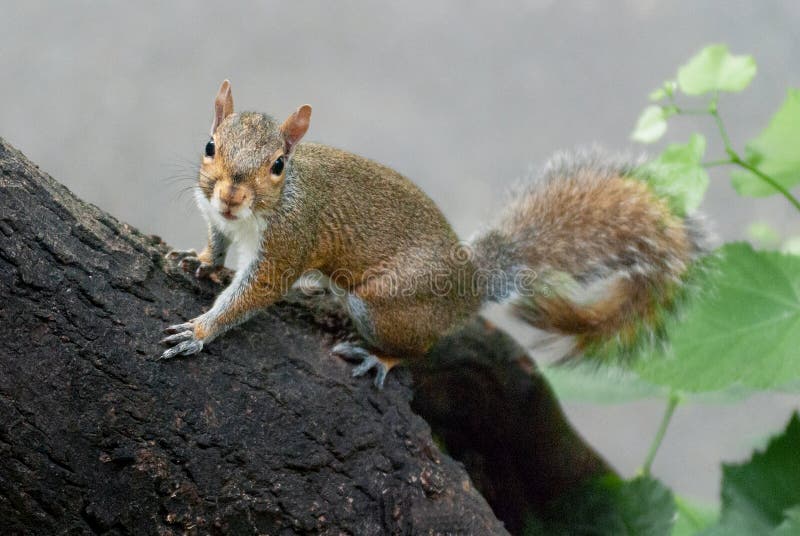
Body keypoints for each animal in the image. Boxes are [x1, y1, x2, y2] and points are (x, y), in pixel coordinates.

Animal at [161, 80, 707, 388]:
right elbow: (217, 242)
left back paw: (379, 357)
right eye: (210, 145)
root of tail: (470, 285)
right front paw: (202, 261)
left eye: (277, 165)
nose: (231, 196)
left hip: (384, 304)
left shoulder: (289, 241)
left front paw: (199, 331)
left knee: (417, 348)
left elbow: (256, 292)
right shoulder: (217, 218)